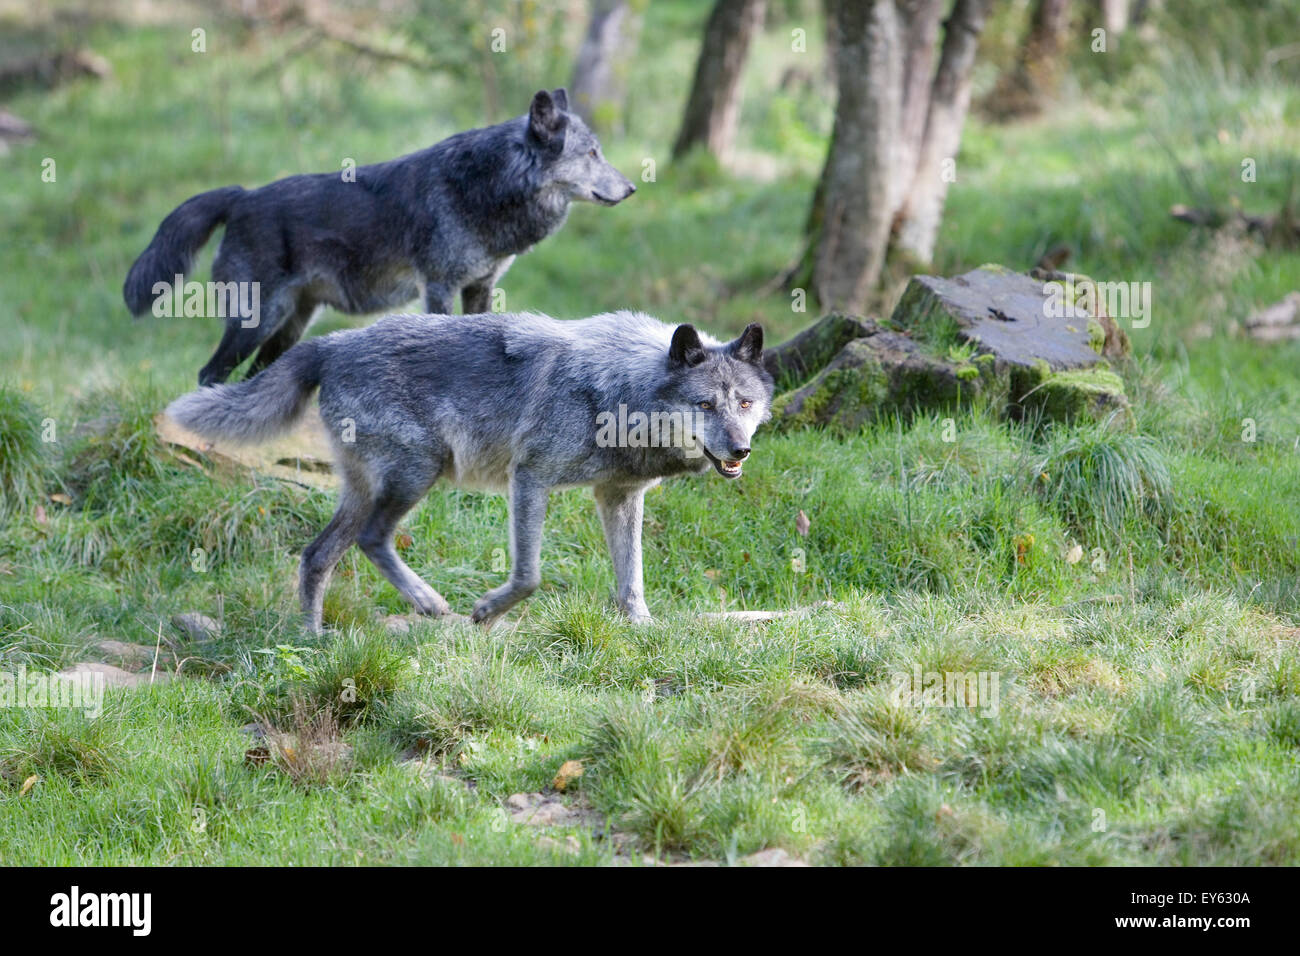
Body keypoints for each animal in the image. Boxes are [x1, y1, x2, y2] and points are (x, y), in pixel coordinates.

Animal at [124, 88, 635, 386]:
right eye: (592, 153)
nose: (631, 188)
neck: (486, 186)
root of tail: (242, 196)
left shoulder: (480, 288)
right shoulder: (438, 287)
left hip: (288, 327)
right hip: (256, 321)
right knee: (209, 373)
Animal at [165, 312, 774, 632]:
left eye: (744, 403)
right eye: (704, 405)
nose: (741, 450)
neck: (618, 394)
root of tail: (332, 342)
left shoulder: (618, 497)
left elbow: (632, 580)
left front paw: (643, 630)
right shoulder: (529, 478)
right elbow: (529, 575)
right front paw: (485, 610)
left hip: (371, 487)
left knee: (318, 554)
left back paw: (315, 641)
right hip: (417, 473)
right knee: (369, 539)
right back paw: (427, 605)